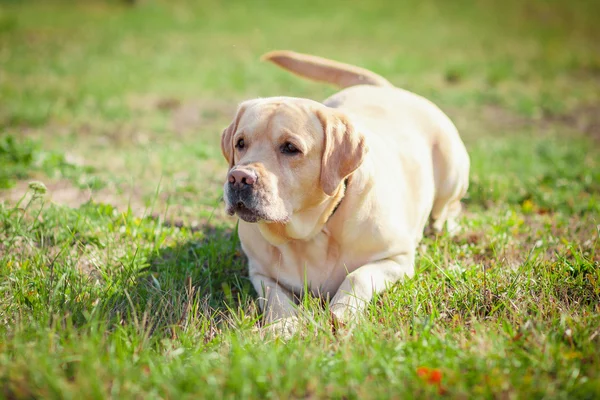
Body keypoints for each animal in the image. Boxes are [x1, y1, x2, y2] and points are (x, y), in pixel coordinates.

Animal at [220, 50, 468, 332]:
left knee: (448, 208)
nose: (239, 177)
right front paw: (285, 325)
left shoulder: (397, 258)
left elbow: (358, 276)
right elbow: (275, 297)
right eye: (240, 143)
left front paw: (341, 313)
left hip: (452, 173)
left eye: (290, 147)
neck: (309, 234)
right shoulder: (259, 273)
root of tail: (385, 88)